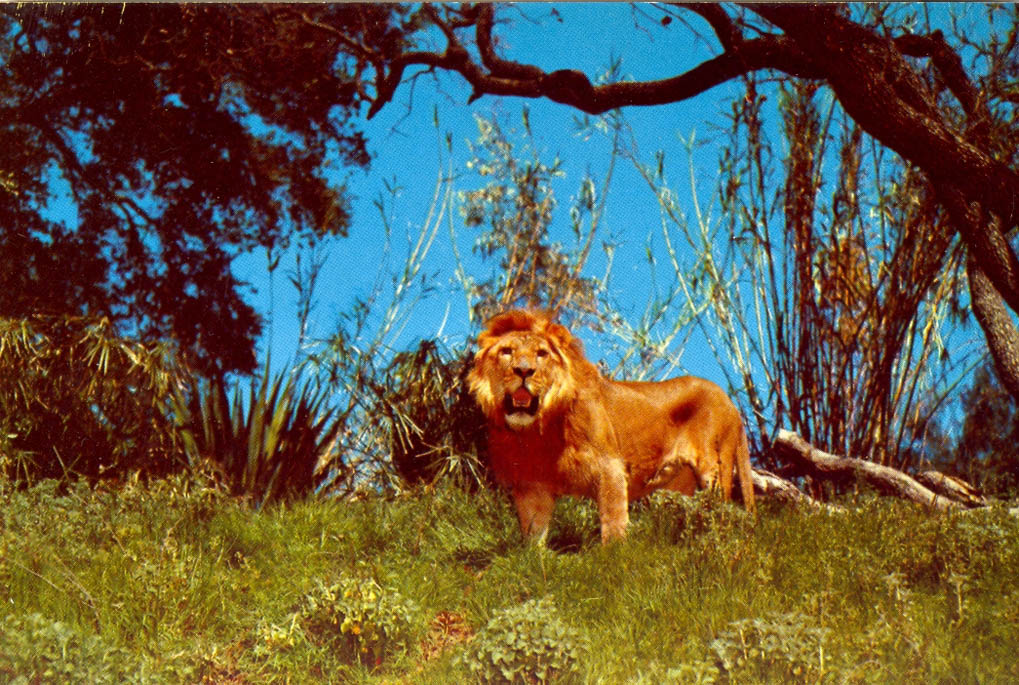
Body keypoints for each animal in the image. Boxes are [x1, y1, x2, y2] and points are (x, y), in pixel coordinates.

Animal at [468, 309, 755, 543]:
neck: (538, 430)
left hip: (714, 469)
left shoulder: (611, 470)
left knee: (720, 512)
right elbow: (533, 535)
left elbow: (613, 524)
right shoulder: (532, 486)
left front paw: (613, 561)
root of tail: (730, 402)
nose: (523, 371)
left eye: (542, 354)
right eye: (507, 351)